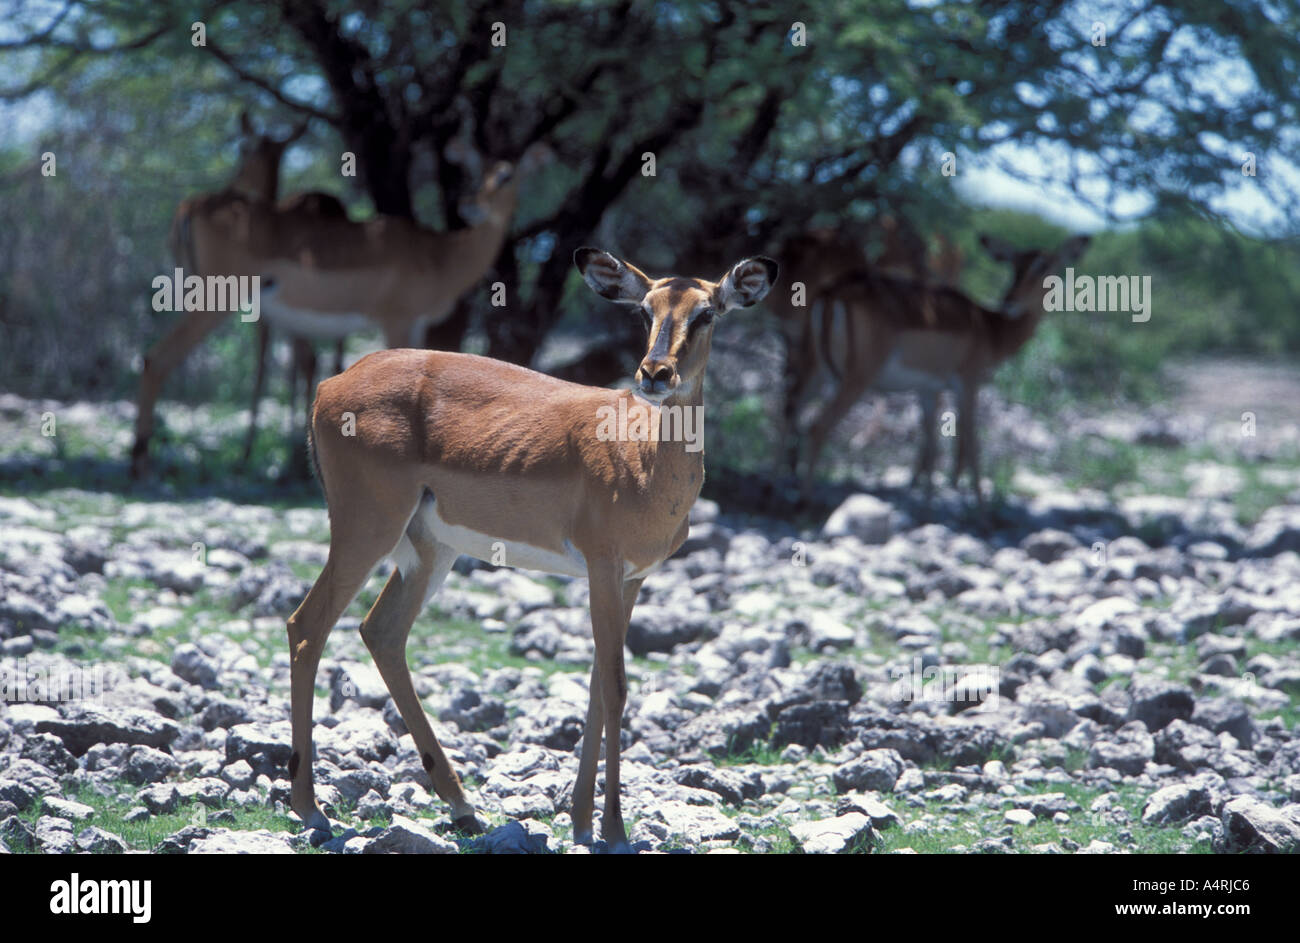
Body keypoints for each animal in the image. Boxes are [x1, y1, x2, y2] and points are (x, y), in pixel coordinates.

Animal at [285, 248, 778, 850]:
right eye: (645, 310)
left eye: (708, 313)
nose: (655, 374)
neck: (642, 457)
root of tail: (332, 384)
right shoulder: (603, 569)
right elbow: (615, 686)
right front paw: (614, 829)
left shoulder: (630, 579)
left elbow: (597, 684)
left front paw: (583, 822)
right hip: (366, 529)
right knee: (307, 627)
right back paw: (312, 810)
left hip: (430, 550)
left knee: (381, 632)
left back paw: (462, 809)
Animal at [794, 232, 1091, 502]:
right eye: (1014, 264)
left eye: (1044, 265)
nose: (1011, 300)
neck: (990, 328)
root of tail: (833, 292)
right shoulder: (968, 382)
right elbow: (970, 442)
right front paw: (981, 511)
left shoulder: (928, 389)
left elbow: (930, 446)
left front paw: (925, 503)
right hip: (856, 379)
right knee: (817, 427)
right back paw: (805, 503)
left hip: (814, 372)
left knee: (790, 414)